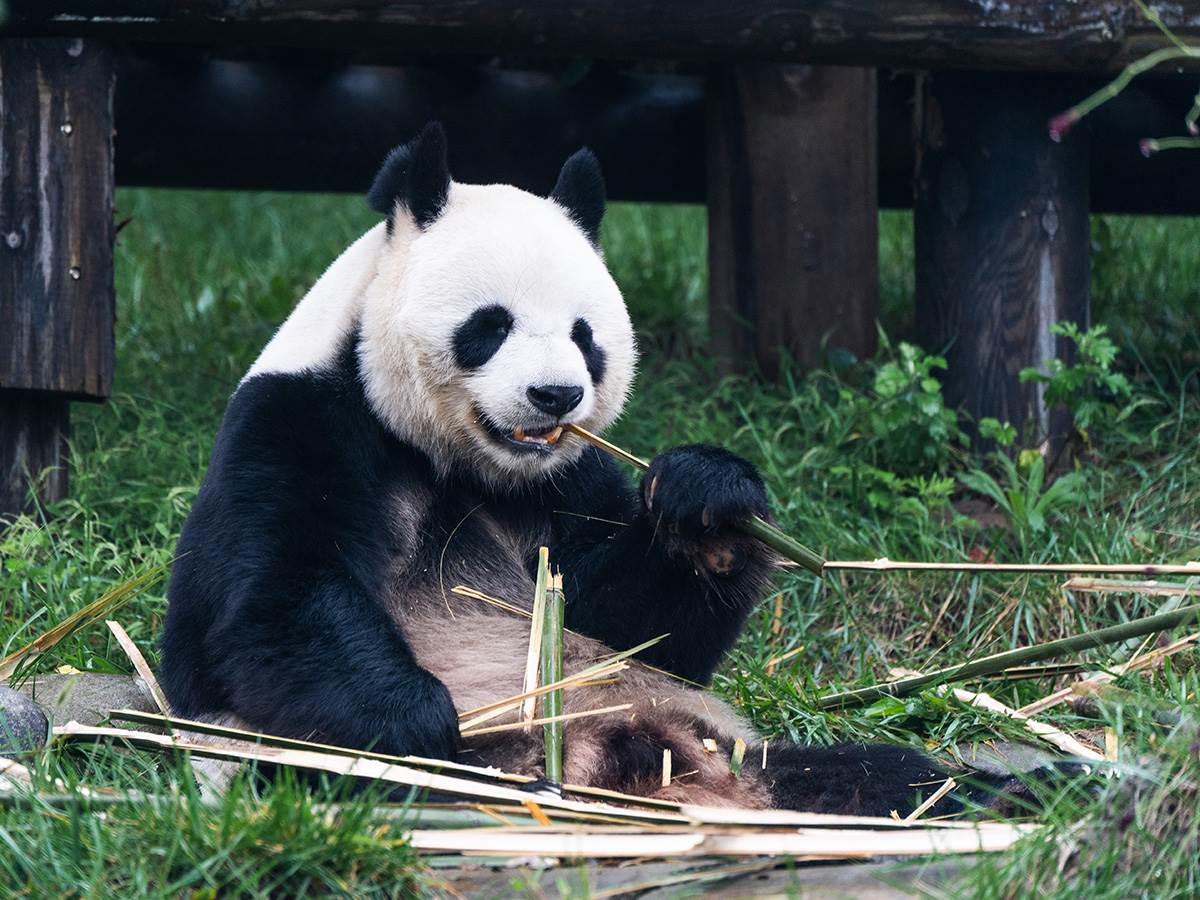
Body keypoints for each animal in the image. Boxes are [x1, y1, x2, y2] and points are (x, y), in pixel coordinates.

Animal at [161, 122, 964, 816]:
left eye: (585, 336)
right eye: (491, 325)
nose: (556, 395)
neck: (454, 458)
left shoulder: (565, 482)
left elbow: (627, 624)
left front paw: (706, 499)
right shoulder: (296, 424)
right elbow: (276, 601)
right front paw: (416, 724)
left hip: (726, 747)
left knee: (886, 776)